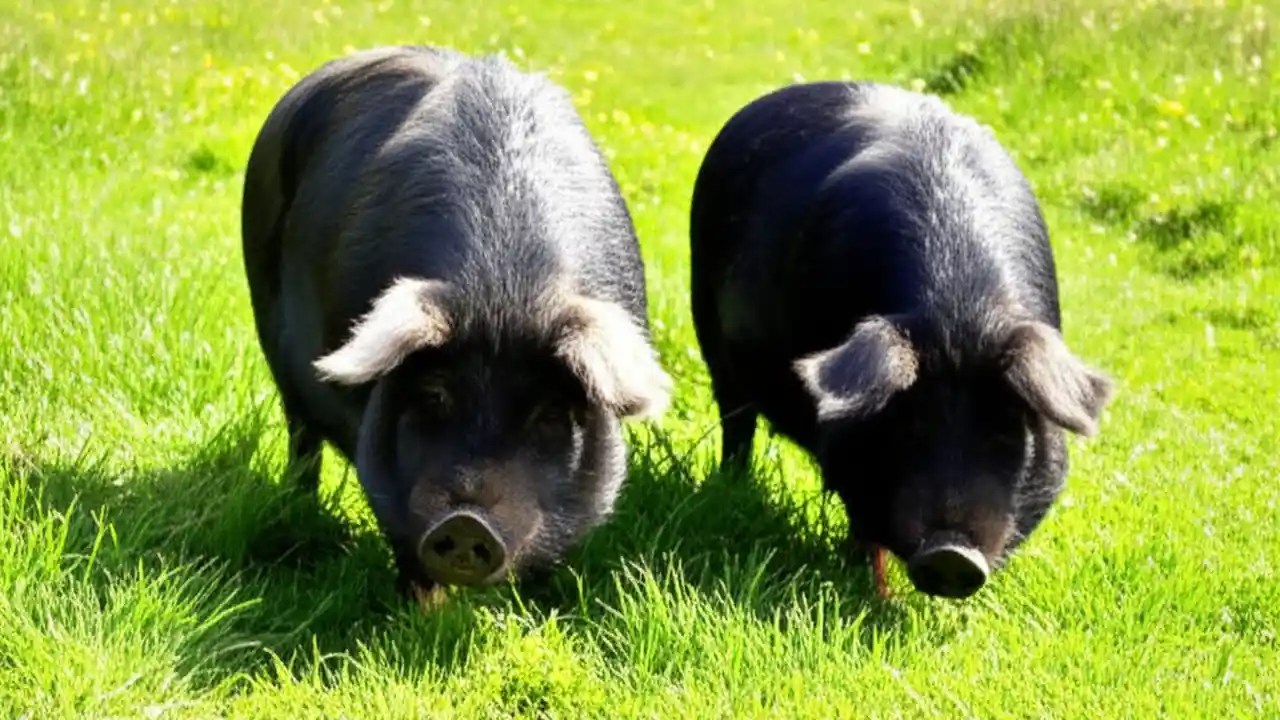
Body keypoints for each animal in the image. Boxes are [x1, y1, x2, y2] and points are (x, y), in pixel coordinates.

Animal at [240, 46, 671, 599]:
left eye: (550, 413)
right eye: (434, 396)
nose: (467, 522)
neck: (502, 288)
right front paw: (423, 610)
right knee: (302, 438)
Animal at [688, 81, 1113, 599]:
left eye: (1006, 428)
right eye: (907, 423)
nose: (952, 554)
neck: (958, 308)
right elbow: (864, 524)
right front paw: (870, 592)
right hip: (710, 332)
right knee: (736, 423)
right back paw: (731, 485)